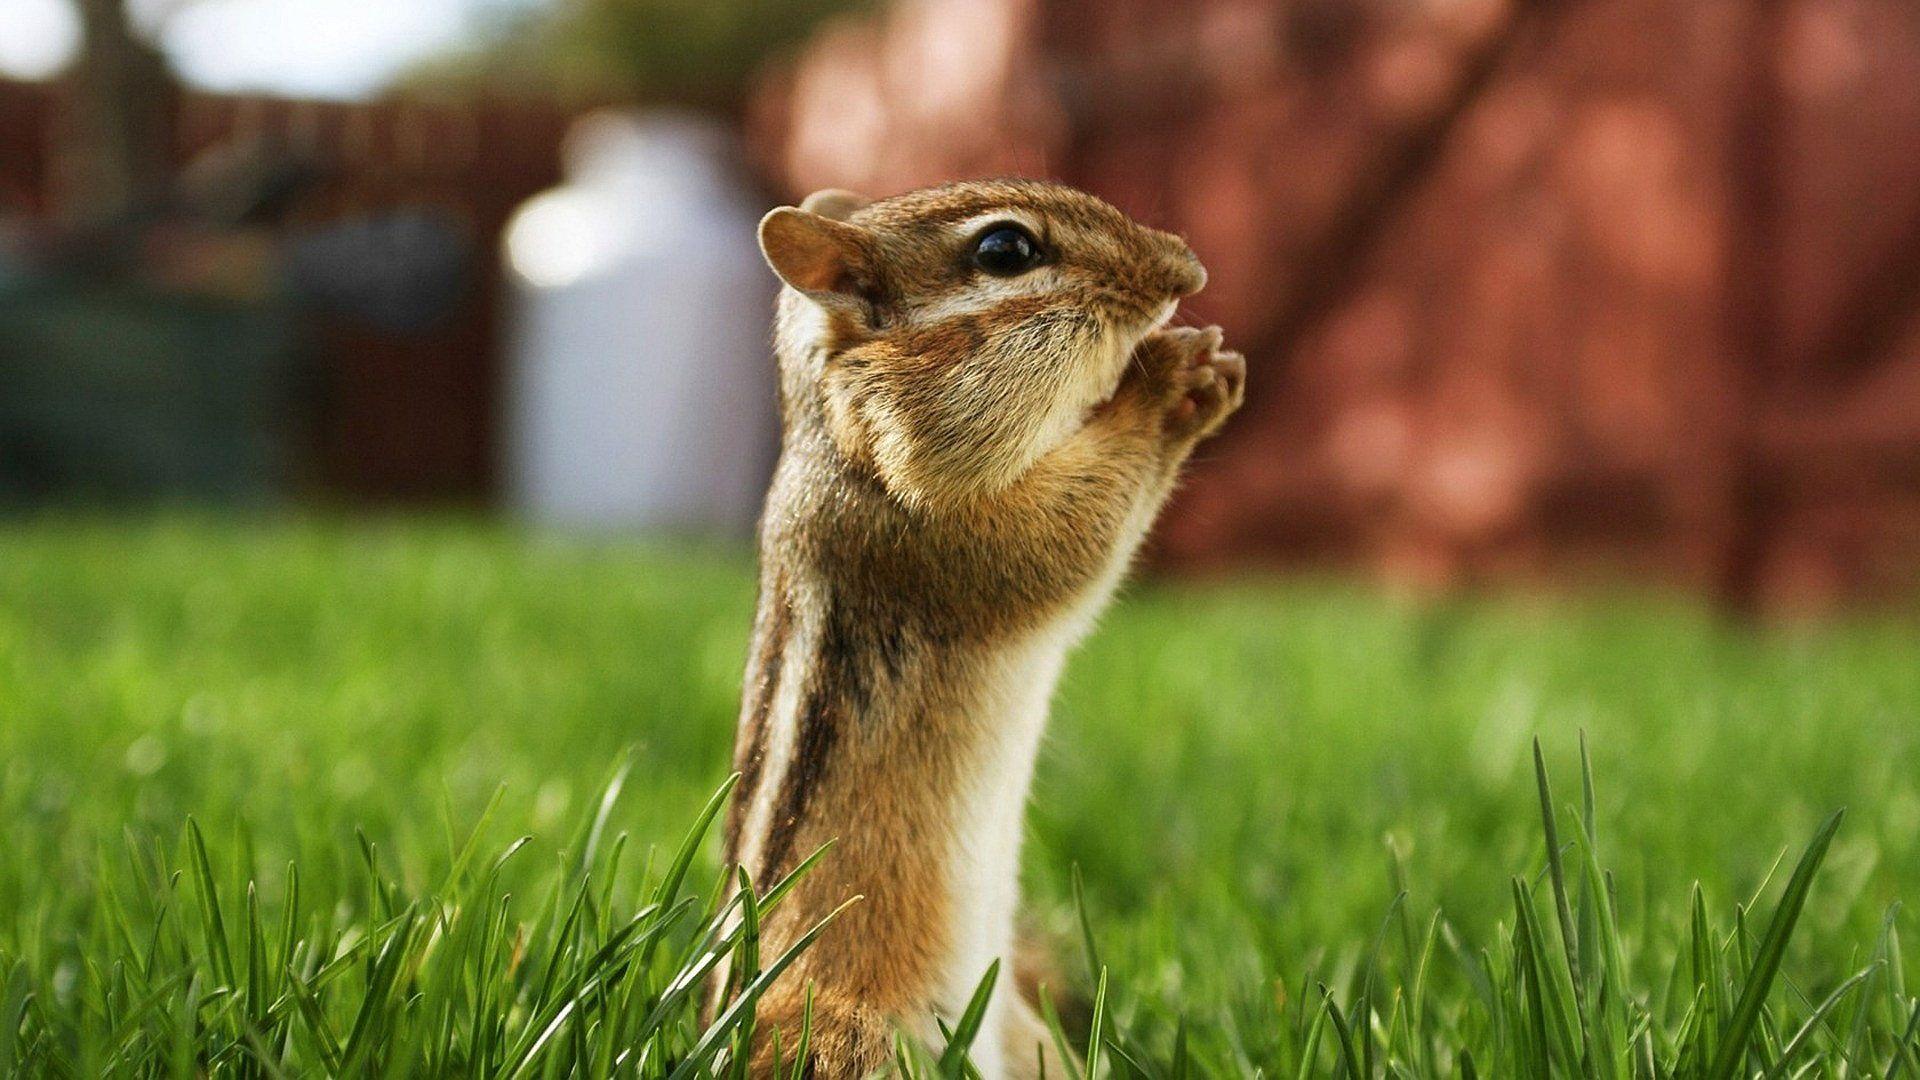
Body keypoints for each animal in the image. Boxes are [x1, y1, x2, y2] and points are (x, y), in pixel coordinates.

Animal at [718, 178, 1245, 1078]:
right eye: (1006, 251)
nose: (1190, 269)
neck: (843, 437)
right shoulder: (938, 531)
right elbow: (1067, 540)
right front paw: (1172, 382)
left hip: (1029, 1040)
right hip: (855, 1041)